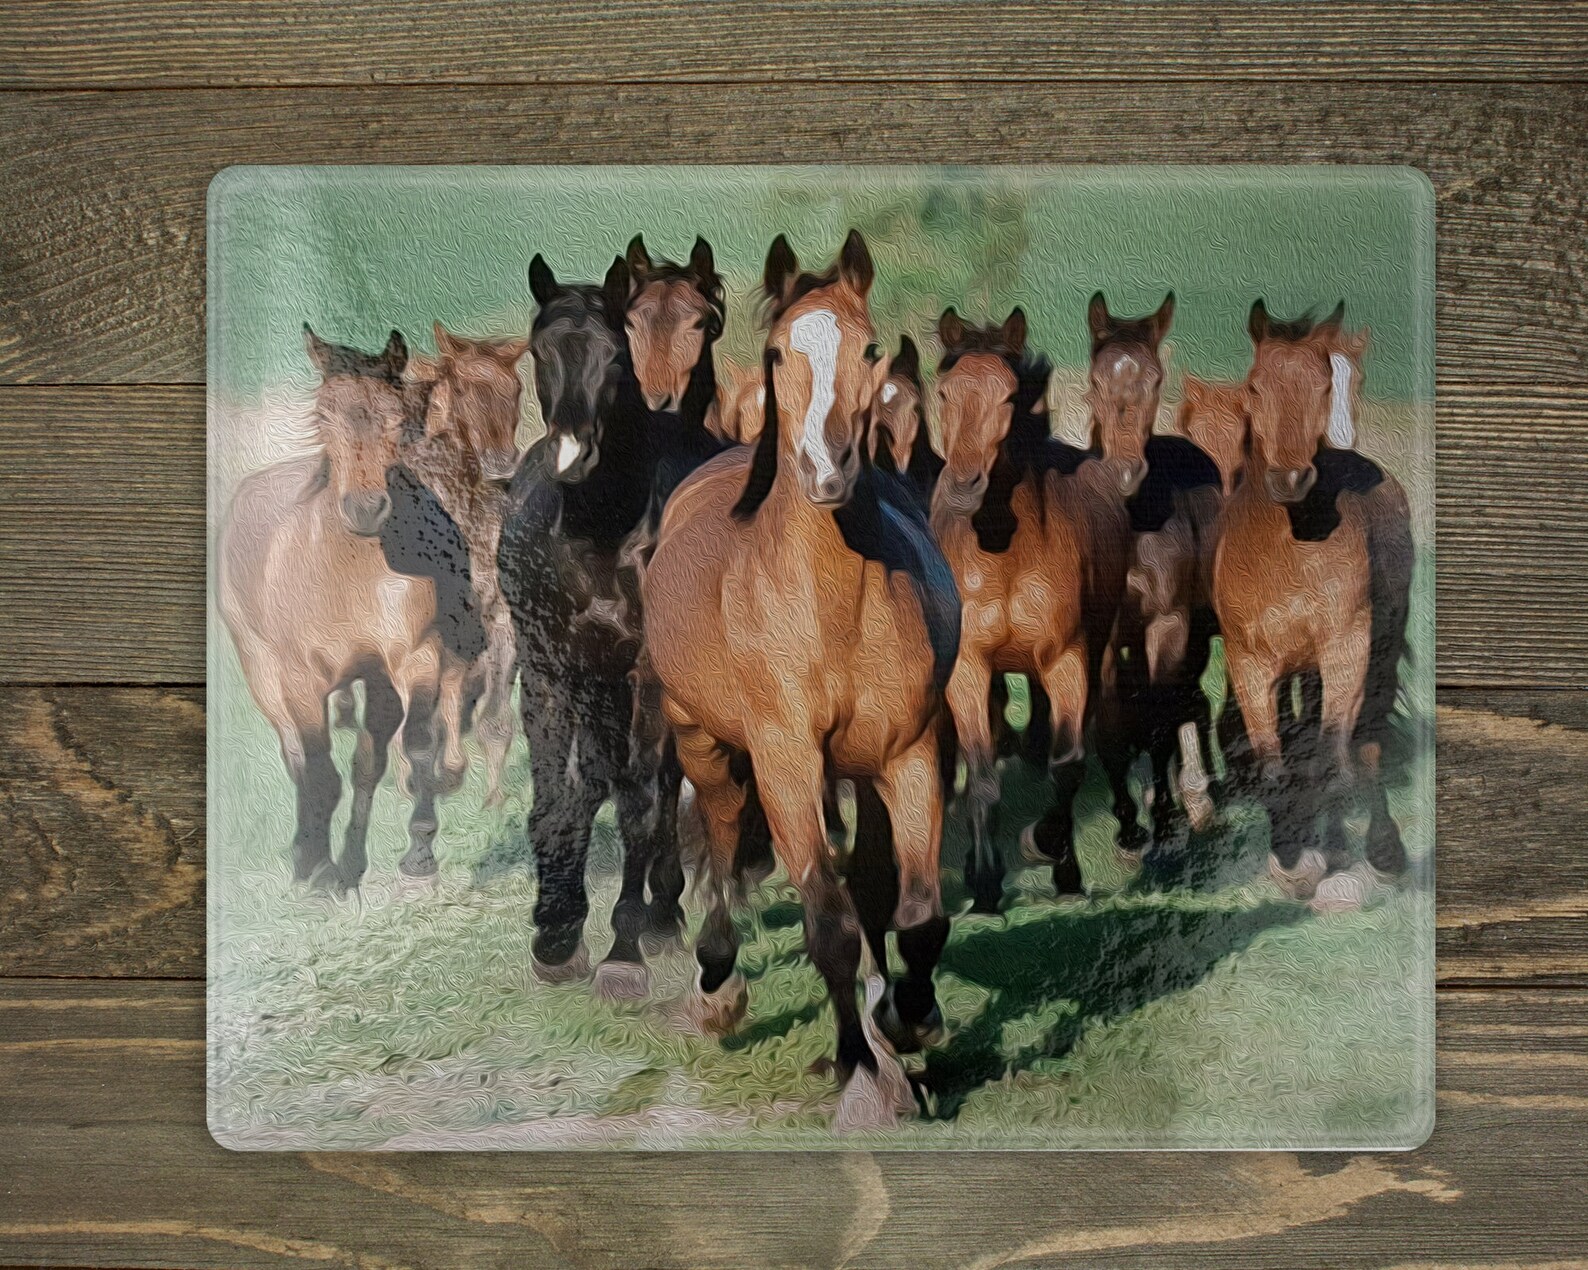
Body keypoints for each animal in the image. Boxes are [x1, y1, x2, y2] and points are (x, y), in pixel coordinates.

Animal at [218, 328, 477, 892]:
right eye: (323, 414)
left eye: (397, 416)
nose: (365, 508)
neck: (347, 571)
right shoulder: (300, 680)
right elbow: (318, 769)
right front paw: (316, 870)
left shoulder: (409, 662)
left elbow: (407, 750)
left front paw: (416, 853)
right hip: (261, 672)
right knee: (295, 757)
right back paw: (306, 856)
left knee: (363, 761)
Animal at [644, 230, 960, 1131]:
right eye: (781, 351)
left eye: (871, 347)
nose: (828, 470)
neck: (829, 602)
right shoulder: (786, 763)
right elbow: (828, 925)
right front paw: (859, 1068)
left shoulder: (907, 753)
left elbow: (916, 913)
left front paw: (910, 1020)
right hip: (703, 741)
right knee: (720, 840)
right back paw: (718, 985)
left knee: (874, 884)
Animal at [931, 306, 1128, 912]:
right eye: (944, 392)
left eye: (1009, 395)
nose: (965, 484)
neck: (1003, 554)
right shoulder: (970, 668)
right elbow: (983, 776)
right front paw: (986, 884)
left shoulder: (1066, 658)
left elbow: (1067, 765)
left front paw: (1049, 853)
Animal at [1213, 300, 1412, 909]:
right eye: (1255, 385)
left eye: (1323, 384)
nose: (1290, 476)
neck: (1288, 544)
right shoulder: (1251, 664)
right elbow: (1277, 761)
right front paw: (1291, 858)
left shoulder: (1346, 648)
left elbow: (1331, 754)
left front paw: (1324, 859)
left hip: (1377, 651)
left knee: (1364, 744)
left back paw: (1378, 853)